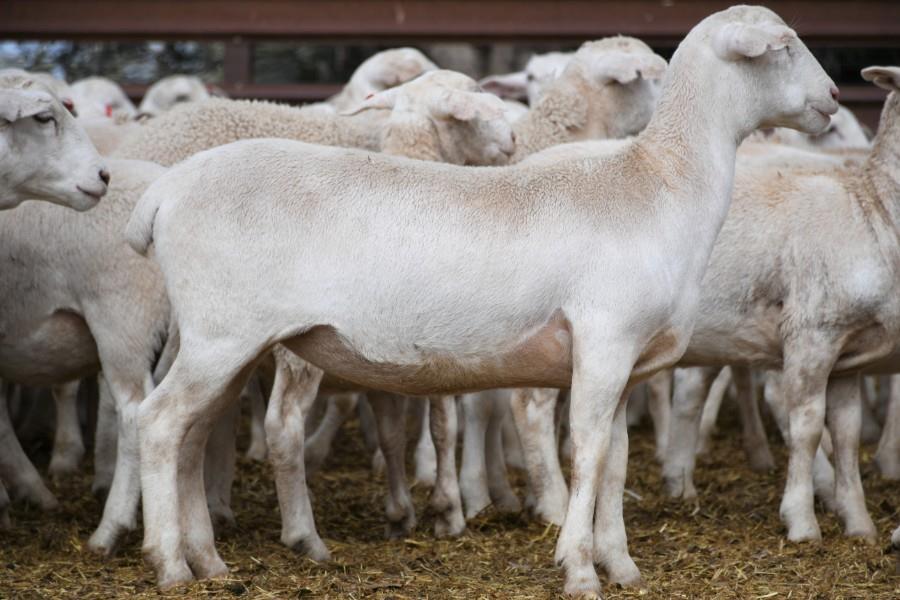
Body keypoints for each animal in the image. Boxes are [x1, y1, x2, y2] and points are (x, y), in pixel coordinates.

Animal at [127, 7, 838, 594]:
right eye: (783, 45)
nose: (833, 98)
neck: (661, 184)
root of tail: (165, 190)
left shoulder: (631, 362)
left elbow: (616, 460)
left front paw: (622, 565)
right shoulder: (603, 339)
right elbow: (586, 453)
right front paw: (579, 567)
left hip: (222, 339)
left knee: (192, 435)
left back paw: (208, 561)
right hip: (223, 334)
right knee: (159, 424)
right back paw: (169, 564)